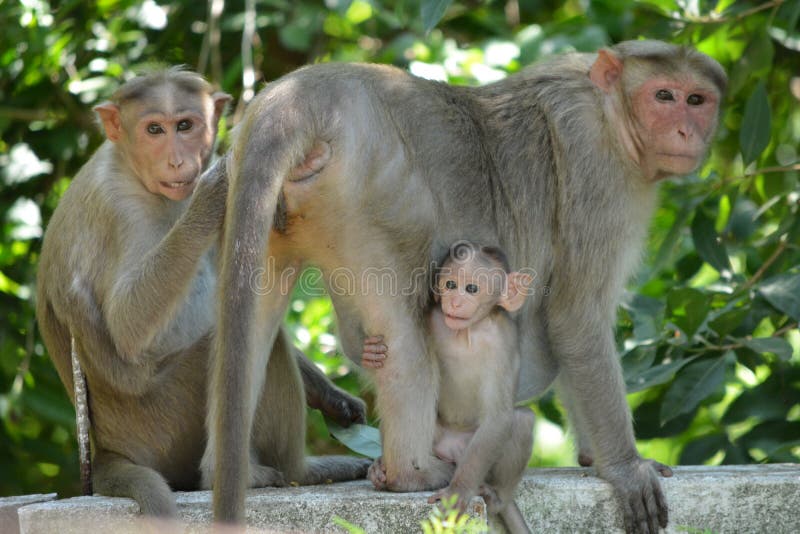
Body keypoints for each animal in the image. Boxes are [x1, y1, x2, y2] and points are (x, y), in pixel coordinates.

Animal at [35, 67, 369, 519]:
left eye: (185, 126)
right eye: (154, 129)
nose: (178, 160)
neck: (129, 167)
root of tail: (107, 452)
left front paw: (334, 396)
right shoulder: (119, 207)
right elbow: (125, 330)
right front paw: (215, 187)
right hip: (165, 424)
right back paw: (292, 470)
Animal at [362, 241, 534, 534]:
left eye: (472, 288)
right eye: (451, 284)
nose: (454, 301)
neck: (467, 332)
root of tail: (452, 447)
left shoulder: (503, 341)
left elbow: (498, 416)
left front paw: (458, 492)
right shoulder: (433, 316)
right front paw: (370, 353)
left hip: (473, 453)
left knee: (521, 419)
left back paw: (496, 498)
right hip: (435, 437)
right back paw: (381, 468)